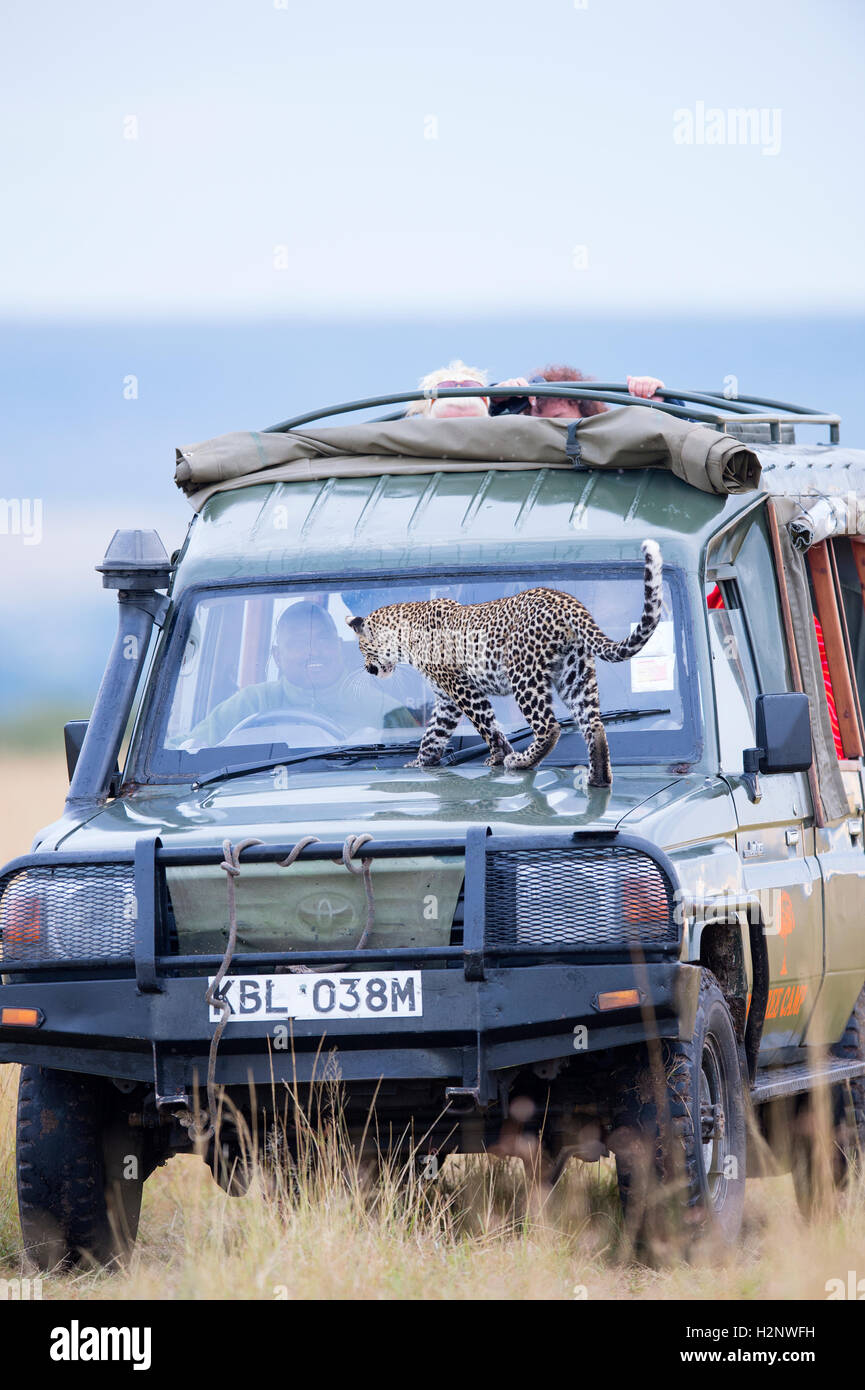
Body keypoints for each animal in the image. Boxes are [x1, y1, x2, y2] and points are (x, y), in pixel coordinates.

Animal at [346, 540, 662, 786]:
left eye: (362, 648)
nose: (368, 668)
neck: (405, 634)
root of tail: (565, 600)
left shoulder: (462, 687)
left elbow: (486, 724)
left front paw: (499, 757)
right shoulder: (446, 700)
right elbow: (434, 735)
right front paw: (419, 765)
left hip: (525, 674)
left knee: (549, 727)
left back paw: (522, 761)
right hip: (575, 672)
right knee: (593, 724)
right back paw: (597, 778)